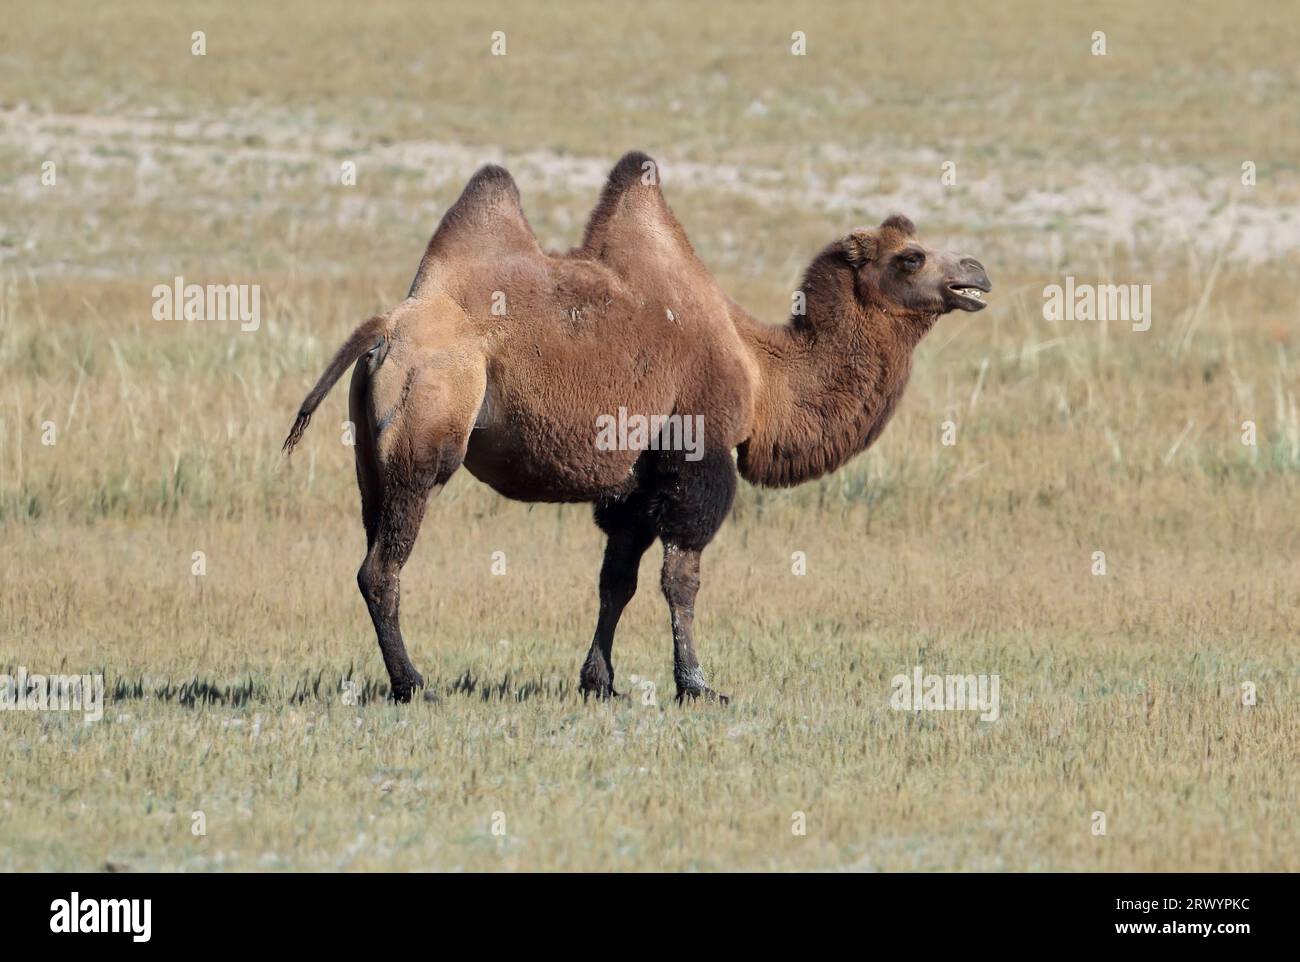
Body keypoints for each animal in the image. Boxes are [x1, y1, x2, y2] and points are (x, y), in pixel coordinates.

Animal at [283, 151, 991, 704]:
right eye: (911, 257)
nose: (976, 270)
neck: (762, 373)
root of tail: (385, 330)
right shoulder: (697, 454)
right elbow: (681, 579)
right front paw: (697, 685)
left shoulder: (635, 480)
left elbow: (615, 581)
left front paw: (600, 681)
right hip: (427, 427)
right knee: (382, 566)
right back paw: (415, 684)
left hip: (370, 457)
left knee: (374, 547)